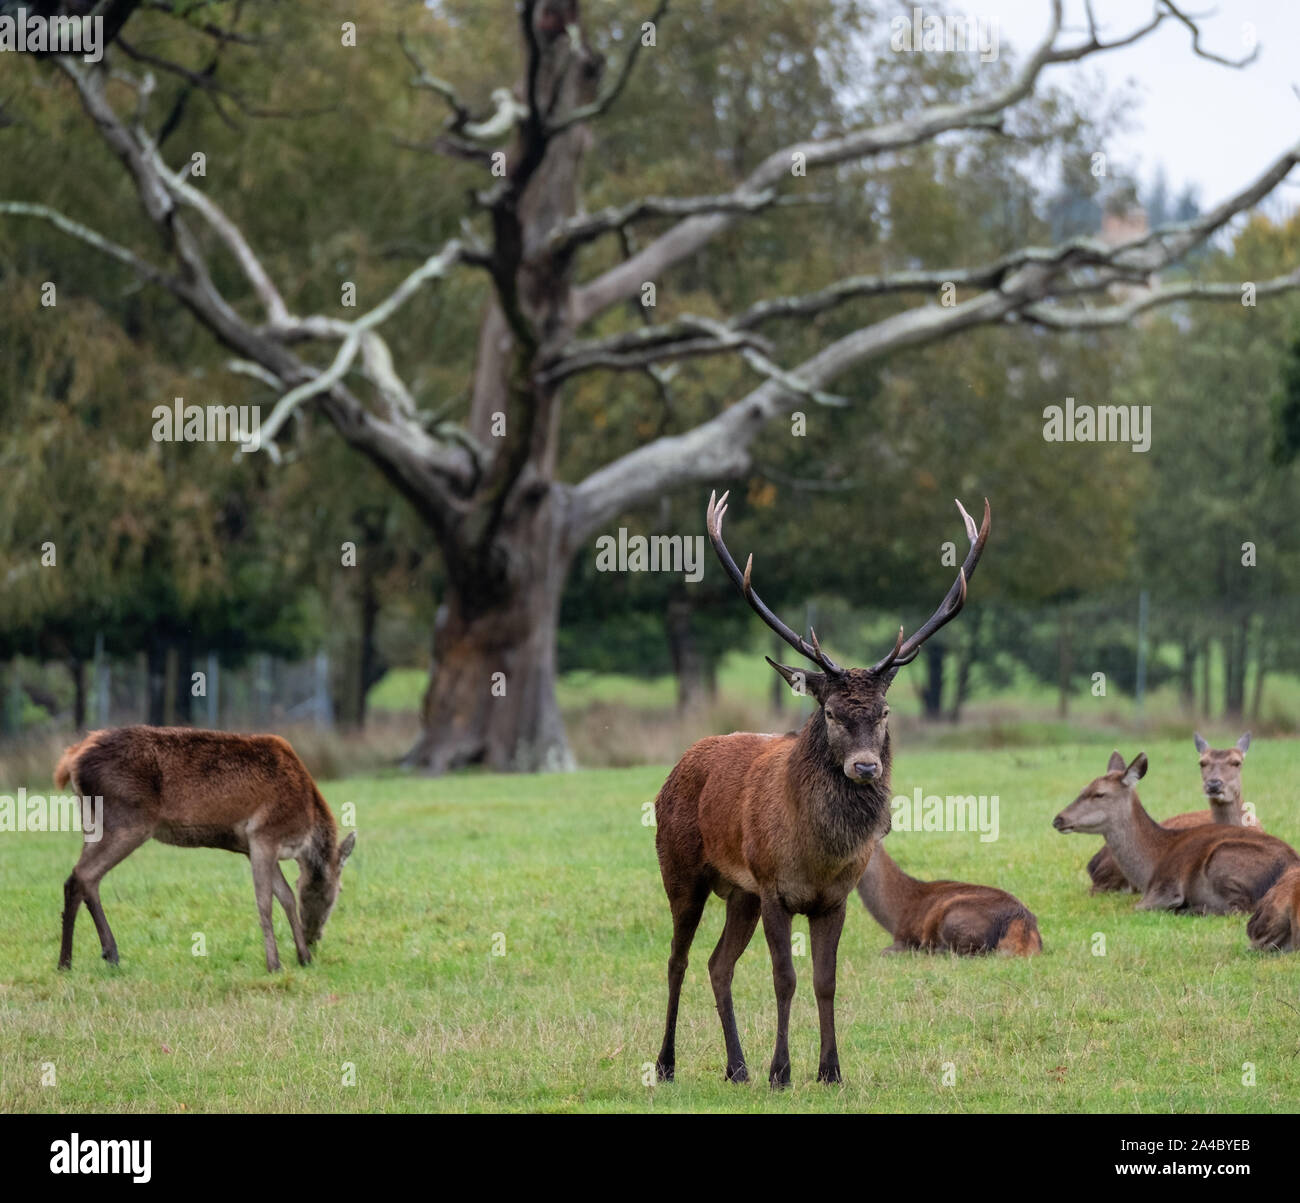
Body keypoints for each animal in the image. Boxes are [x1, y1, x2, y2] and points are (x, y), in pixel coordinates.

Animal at [54, 726, 356, 973]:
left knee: (75, 879)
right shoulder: (264, 834)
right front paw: (275, 964)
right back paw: (106, 954)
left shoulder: (253, 846)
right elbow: (266, 902)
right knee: (85, 874)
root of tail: (71, 759)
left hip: (93, 822)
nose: (314, 938)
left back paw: (67, 962)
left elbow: (286, 896)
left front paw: (304, 958)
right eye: (338, 890)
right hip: (128, 821)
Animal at [653, 490, 989, 1087]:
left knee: (719, 964)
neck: (816, 856)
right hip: (684, 871)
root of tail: (677, 766)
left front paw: (830, 1070)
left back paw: (736, 1067)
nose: (865, 767)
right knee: (678, 960)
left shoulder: (833, 899)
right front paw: (782, 1071)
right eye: (831, 712)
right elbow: (784, 979)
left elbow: (825, 982)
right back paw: (667, 1063)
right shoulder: (773, 889)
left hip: (737, 892)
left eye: (883, 711)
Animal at [1053, 750, 1296, 914]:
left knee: (1238, 908)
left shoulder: (1163, 888)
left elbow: (1139, 906)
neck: (1149, 868)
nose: (1058, 819)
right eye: (1082, 789)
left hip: (1224, 859)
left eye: (1099, 794)